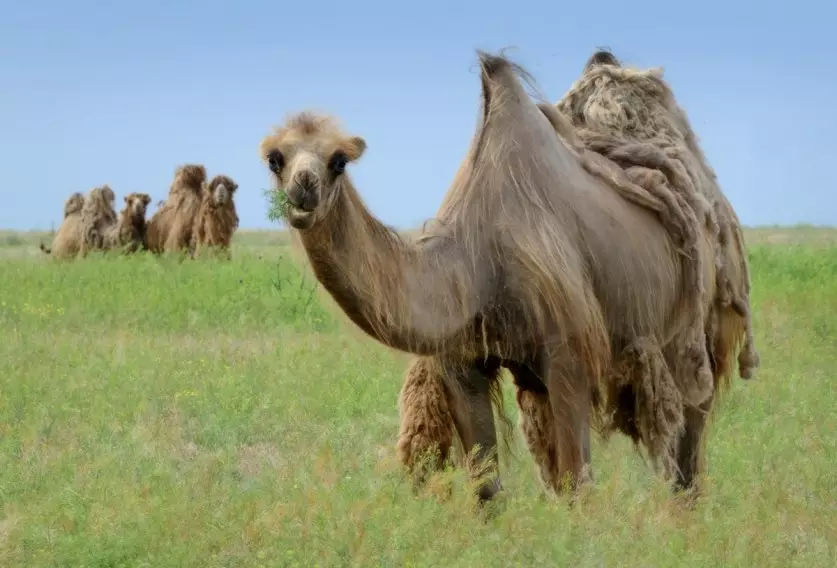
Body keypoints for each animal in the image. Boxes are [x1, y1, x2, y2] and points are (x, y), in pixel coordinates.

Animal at [260, 51, 752, 502]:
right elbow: (486, 487)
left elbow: (578, 483)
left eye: (339, 160)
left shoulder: (570, 357)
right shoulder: (463, 362)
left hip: (700, 328)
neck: (475, 261)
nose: (303, 188)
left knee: (690, 440)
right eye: (275, 158)